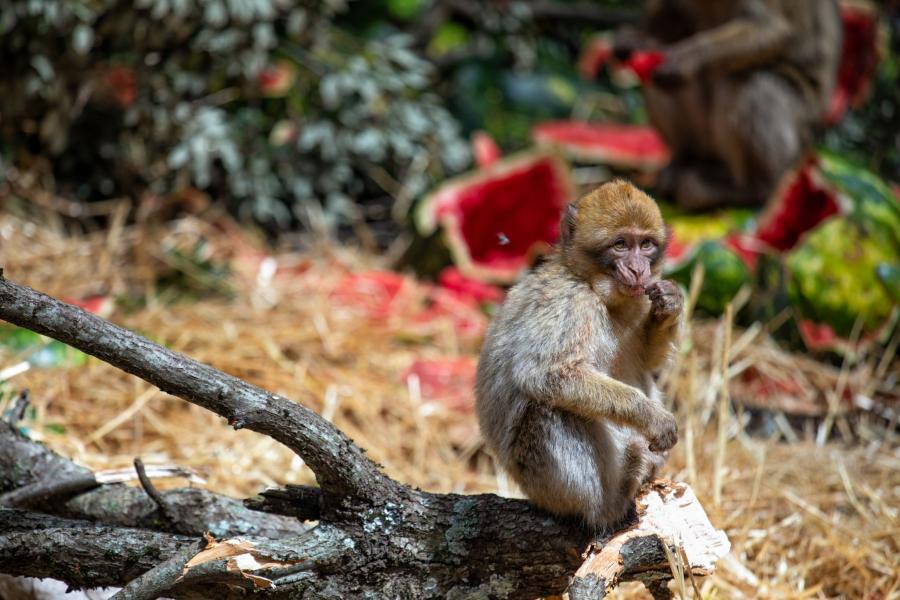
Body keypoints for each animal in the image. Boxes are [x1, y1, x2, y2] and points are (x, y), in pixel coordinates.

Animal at [475, 180, 682, 530]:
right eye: (620, 245)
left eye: (646, 245)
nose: (638, 269)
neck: (592, 284)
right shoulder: (571, 302)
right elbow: (547, 374)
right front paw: (652, 417)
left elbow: (647, 361)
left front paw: (669, 304)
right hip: (548, 487)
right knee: (549, 409)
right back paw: (613, 499)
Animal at [614, 0, 842, 210]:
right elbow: (670, 14)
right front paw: (635, 38)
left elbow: (770, 28)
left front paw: (687, 58)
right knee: (664, 83)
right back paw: (686, 161)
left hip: (799, 126)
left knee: (745, 82)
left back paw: (747, 189)